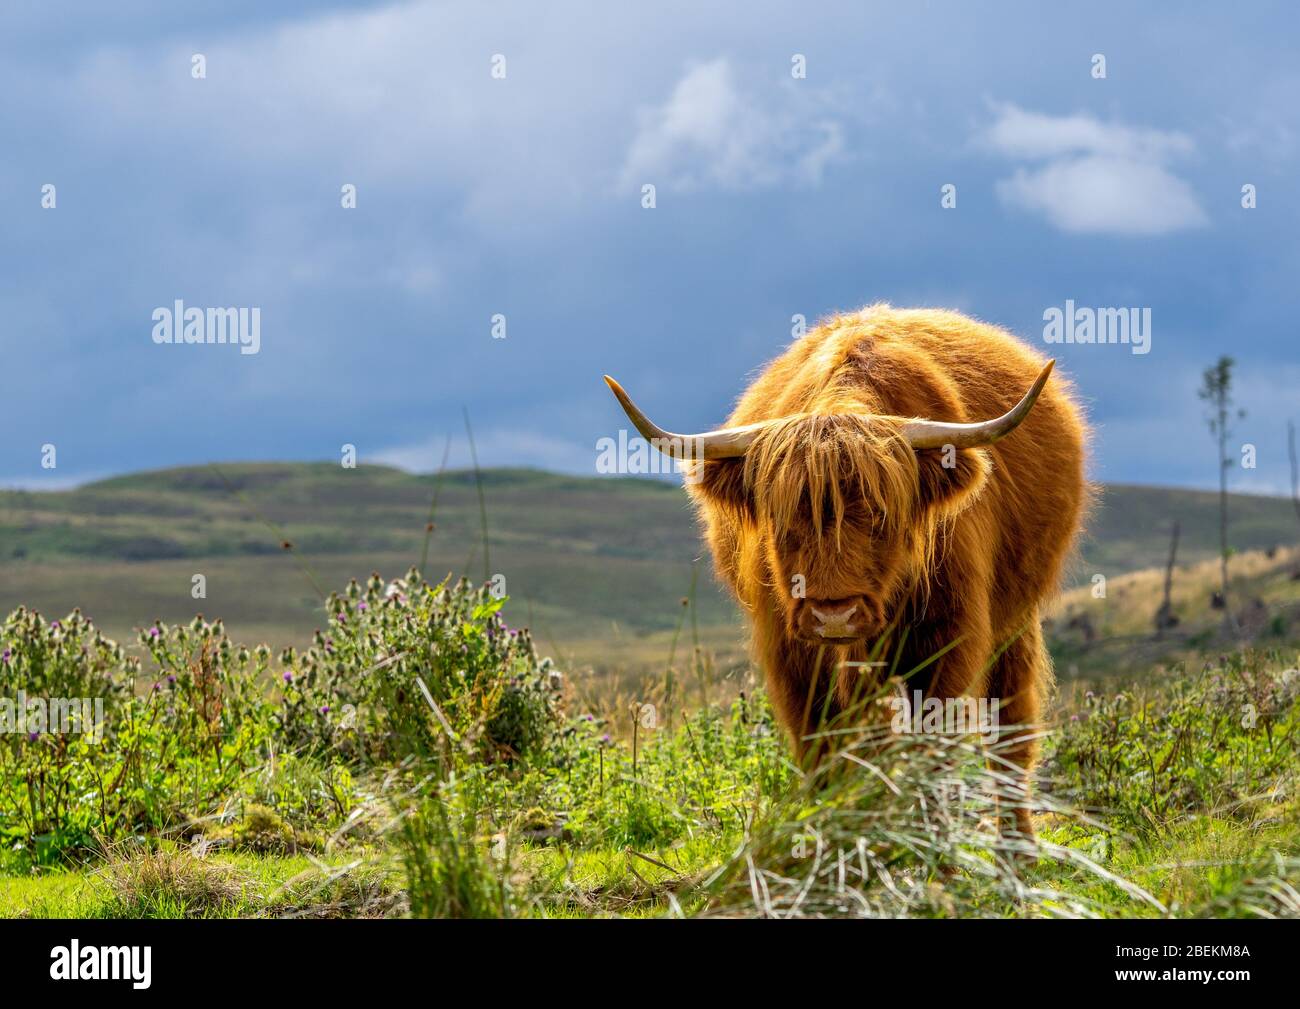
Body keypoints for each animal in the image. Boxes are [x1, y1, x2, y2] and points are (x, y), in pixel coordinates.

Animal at [605, 305, 1088, 839]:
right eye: (784, 521)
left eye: (881, 515)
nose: (834, 615)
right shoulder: (791, 655)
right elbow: (825, 754)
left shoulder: (948, 641)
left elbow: (931, 753)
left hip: (1016, 622)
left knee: (1010, 737)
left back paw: (1015, 850)